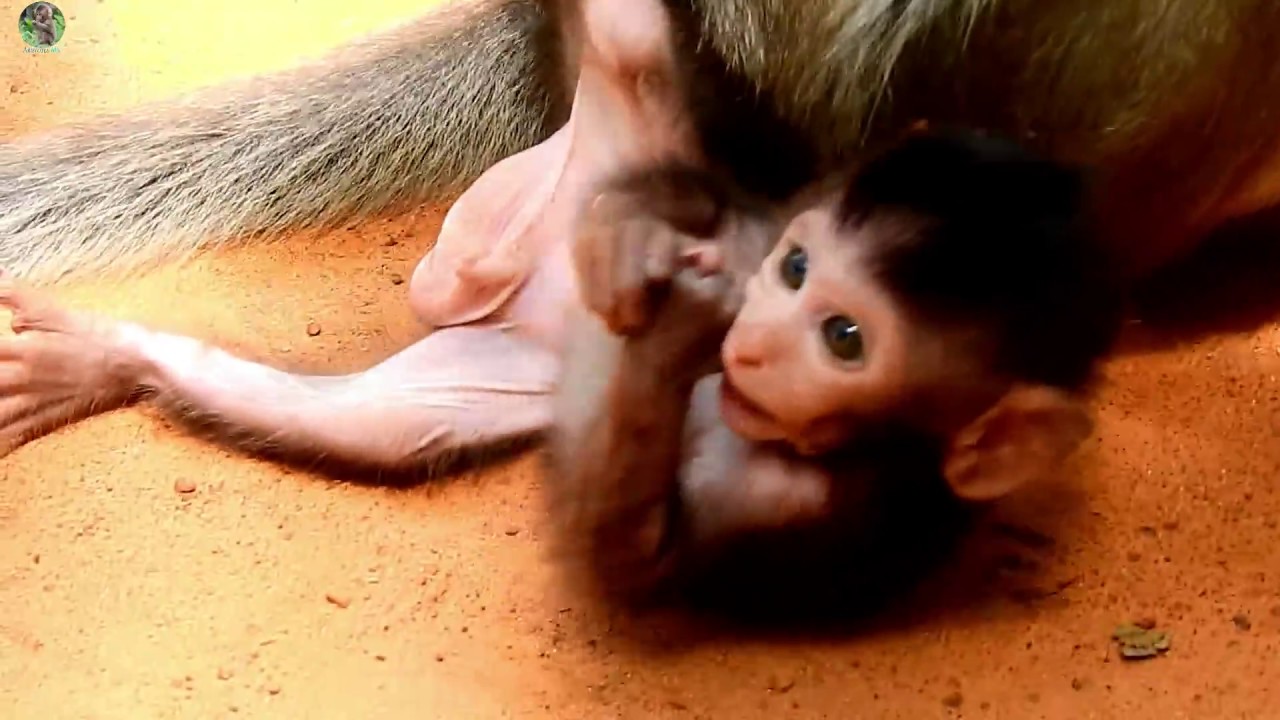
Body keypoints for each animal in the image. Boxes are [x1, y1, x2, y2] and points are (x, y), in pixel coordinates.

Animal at [541, 127, 1123, 609]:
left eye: (844, 337)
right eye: (795, 267)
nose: (747, 345)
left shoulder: (797, 507)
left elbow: (631, 561)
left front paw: (677, 334)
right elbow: (748, 217)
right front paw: (627, 229)